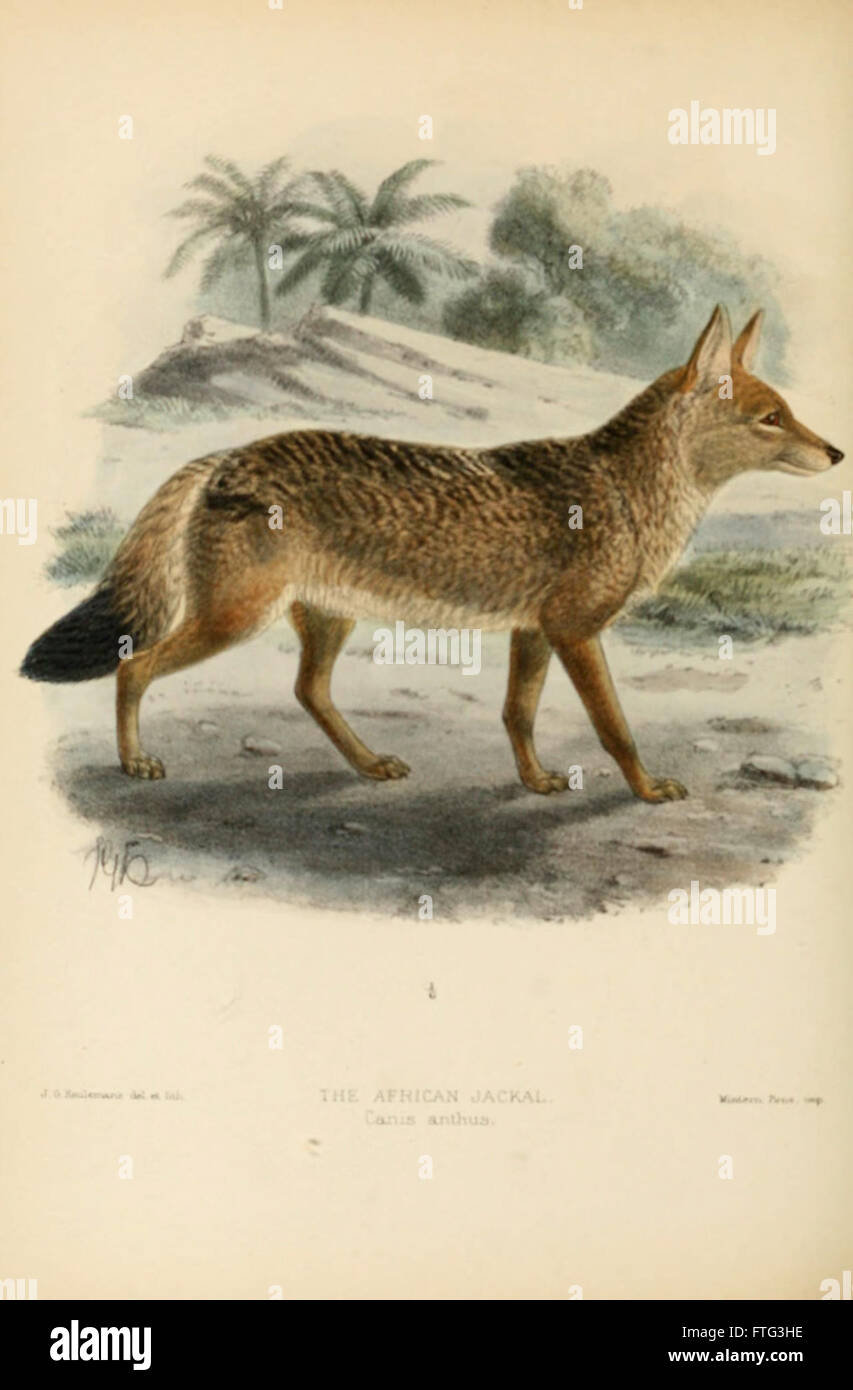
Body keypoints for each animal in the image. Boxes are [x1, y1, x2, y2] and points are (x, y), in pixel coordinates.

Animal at [21, 305, 843, 802]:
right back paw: (134, 762)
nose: (836, 452)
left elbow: (517, 715)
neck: (628, 489)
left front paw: (535, 780)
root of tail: (225, 455)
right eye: (771, 419)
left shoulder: (535, 632)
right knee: (134, 666)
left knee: (308, 692)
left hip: (324, 621)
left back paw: (368, 765)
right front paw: (645, 791)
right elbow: (615, 728)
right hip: (234, 620)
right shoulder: (576, 631)